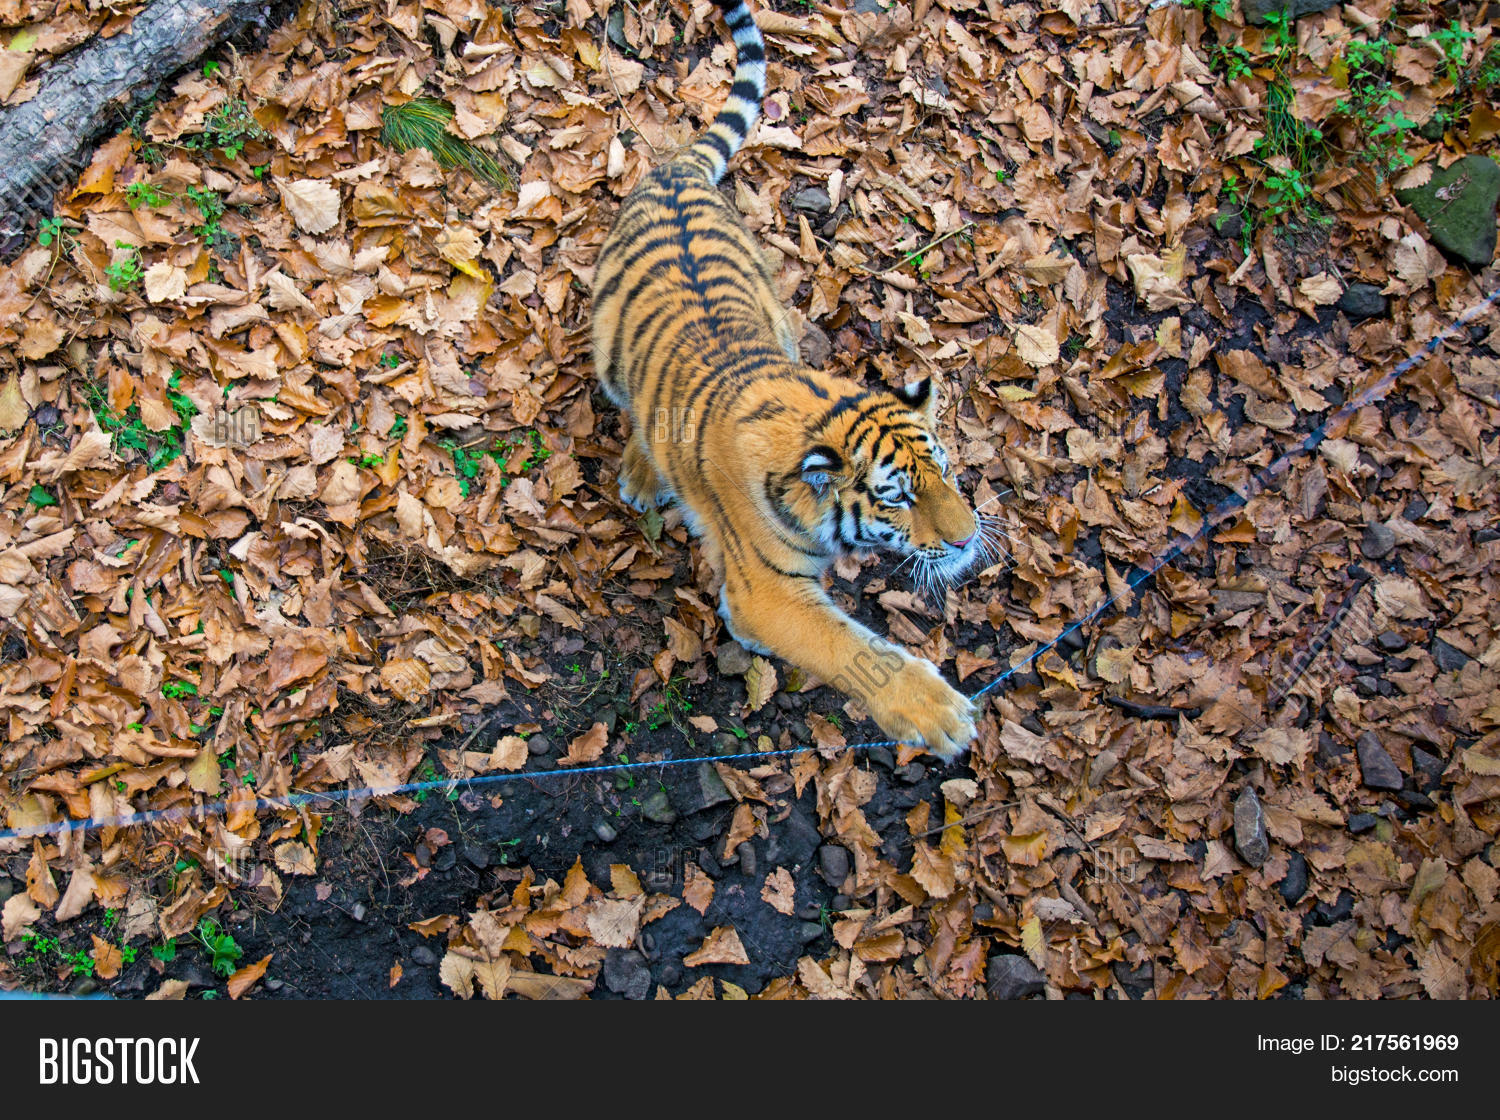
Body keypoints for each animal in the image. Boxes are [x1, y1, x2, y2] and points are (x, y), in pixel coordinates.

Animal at [590, 0, 999, 760]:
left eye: (947, 474)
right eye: (896, 498)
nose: (966, 542)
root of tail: (675, 171)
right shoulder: (771, 594)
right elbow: (855, 651)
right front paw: (936, 713)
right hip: (608, 352)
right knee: (631, 410)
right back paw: (641, 470)